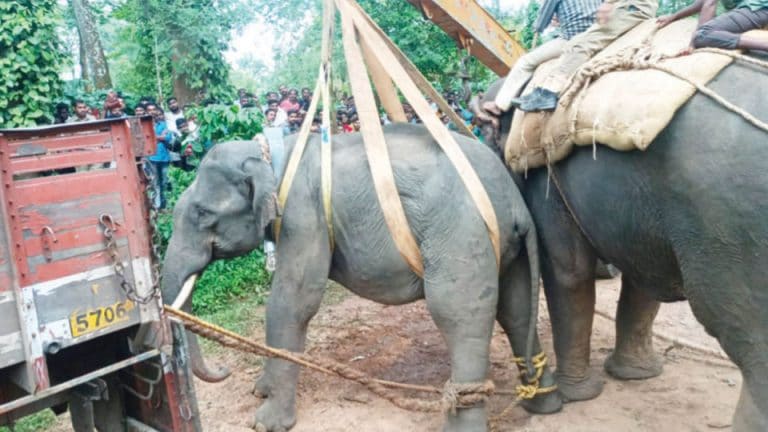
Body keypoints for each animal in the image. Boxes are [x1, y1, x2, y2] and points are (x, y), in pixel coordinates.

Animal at [160, 123, 563, 432]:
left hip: (461, 236)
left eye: (201, 213)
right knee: (516, 311)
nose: (224, 369)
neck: (273, 154)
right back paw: (544, 405)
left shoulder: (302, 216)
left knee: (459, 315)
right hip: (506, 248)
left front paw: (266, 423)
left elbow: (293, 302)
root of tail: (515, 203)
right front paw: (262, 390)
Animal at [475, 58, 768, 431]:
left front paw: (577, 395)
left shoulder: (543, 173)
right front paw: (637, 375)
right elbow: (639, 274)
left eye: (482, 133)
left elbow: (568, 271)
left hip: (731, 225)